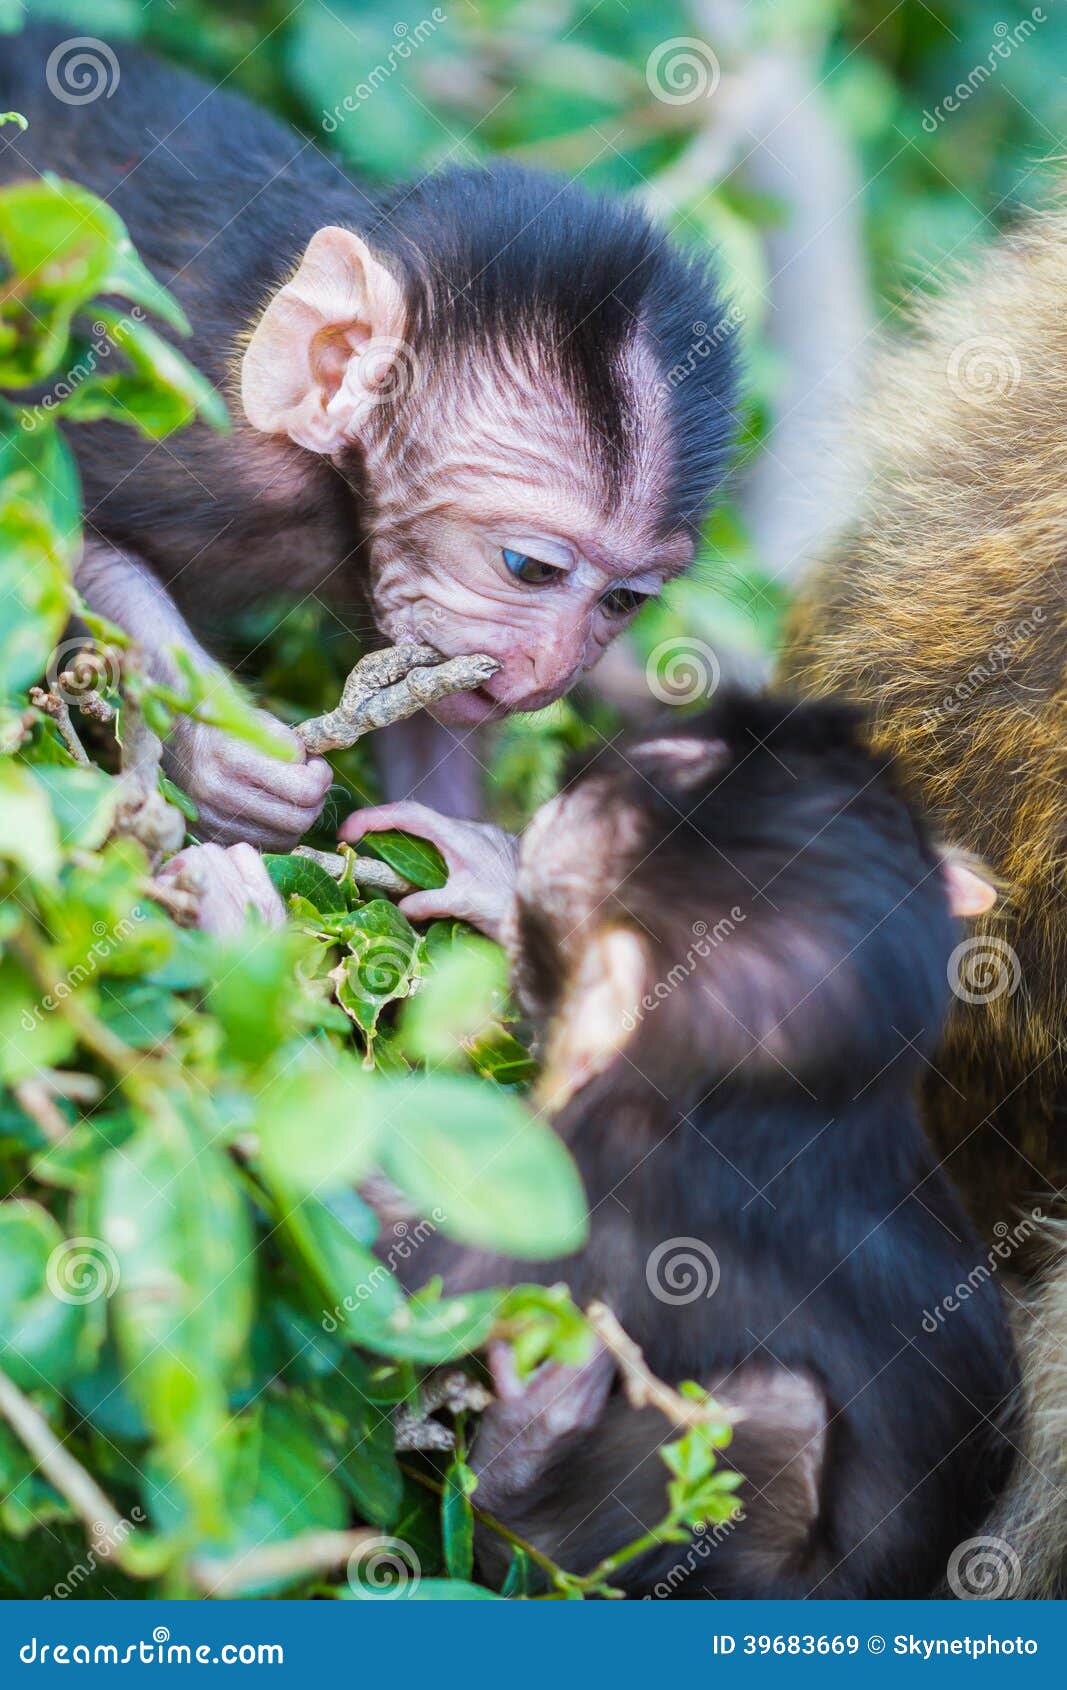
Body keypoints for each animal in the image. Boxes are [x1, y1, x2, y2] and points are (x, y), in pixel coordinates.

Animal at [1, 22, 736, 850]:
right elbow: (59, 538)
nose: (553, 667)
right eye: (530, 568)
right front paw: (225, 752)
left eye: (621, 602)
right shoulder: (206, 446)